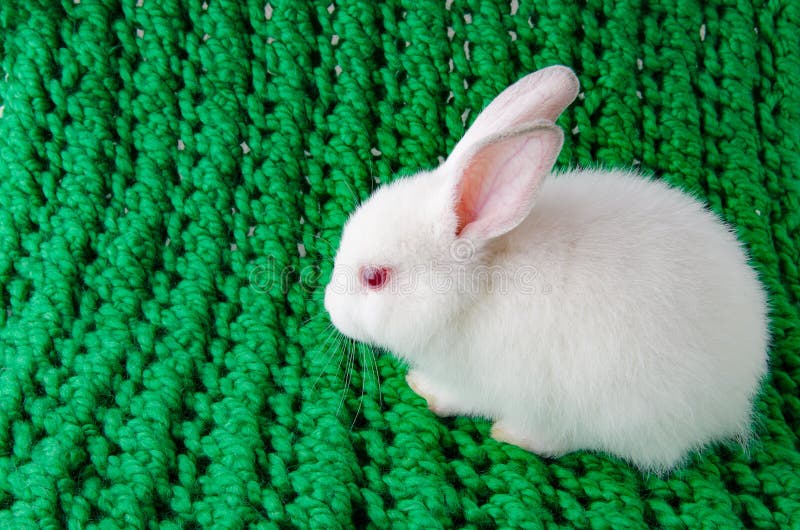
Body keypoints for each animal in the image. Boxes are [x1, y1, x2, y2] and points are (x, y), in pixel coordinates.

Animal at [323, 65, 769, 473]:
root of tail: (740, 387)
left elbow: (458, 395)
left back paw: (512, 434)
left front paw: (424, 390)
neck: (476, 287)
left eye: (374, 278)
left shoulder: (478, 381)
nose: (330, 309)